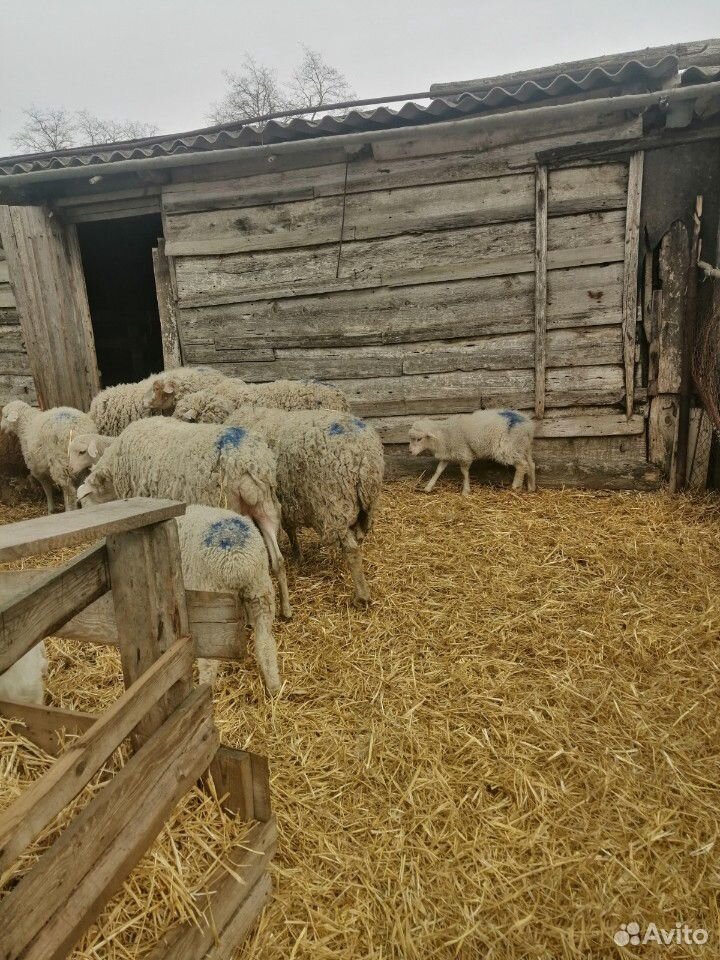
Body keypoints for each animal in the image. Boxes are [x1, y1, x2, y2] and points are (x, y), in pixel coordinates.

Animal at [75, 417, 292, 618]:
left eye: (85, 504)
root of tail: (248, 461)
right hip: (267, 506)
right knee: (278, 560)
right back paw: (286, 609)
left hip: (231, 507)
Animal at [178, 505, 280, 694]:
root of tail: (238, 561)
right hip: (261, 591)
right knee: (265, 643)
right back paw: (274, 688)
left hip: (213, 604)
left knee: (209, 662)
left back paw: (207, 689)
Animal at [222, 406, 384, 604]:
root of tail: (364, 457)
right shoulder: (286, 502)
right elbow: (290, 530)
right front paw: (297, 555)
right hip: (365, 508)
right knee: (358, 538)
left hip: (333, 505)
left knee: (351, 549)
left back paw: (361, 596)